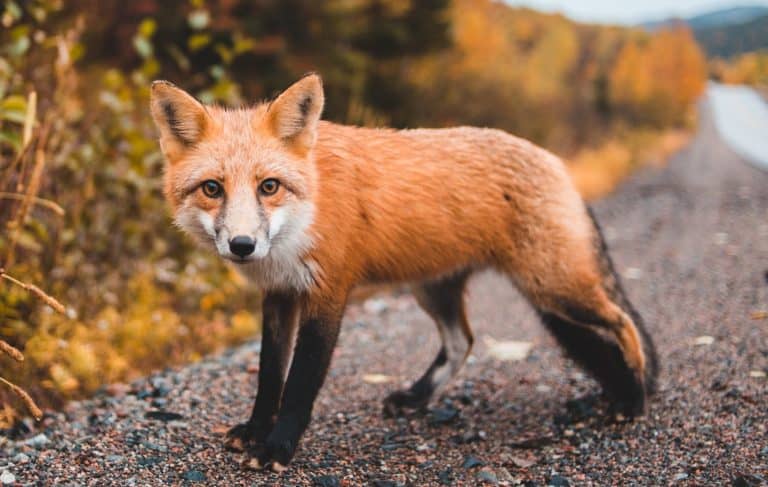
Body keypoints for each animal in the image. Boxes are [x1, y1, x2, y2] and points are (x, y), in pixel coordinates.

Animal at [150, 73, 658, 472]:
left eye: (269, 186)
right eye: (212, 189)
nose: (242, 246)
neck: (308, 209)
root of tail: (556, 161)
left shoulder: (328, 294)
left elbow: (299, 384)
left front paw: (278, 447)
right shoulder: (278, 295)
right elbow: (270, 376)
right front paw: (257, 430)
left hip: (553, 288)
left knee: (623, 323)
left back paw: (633, 398)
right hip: (436, 290)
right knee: (461, 342)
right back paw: (416, 398)